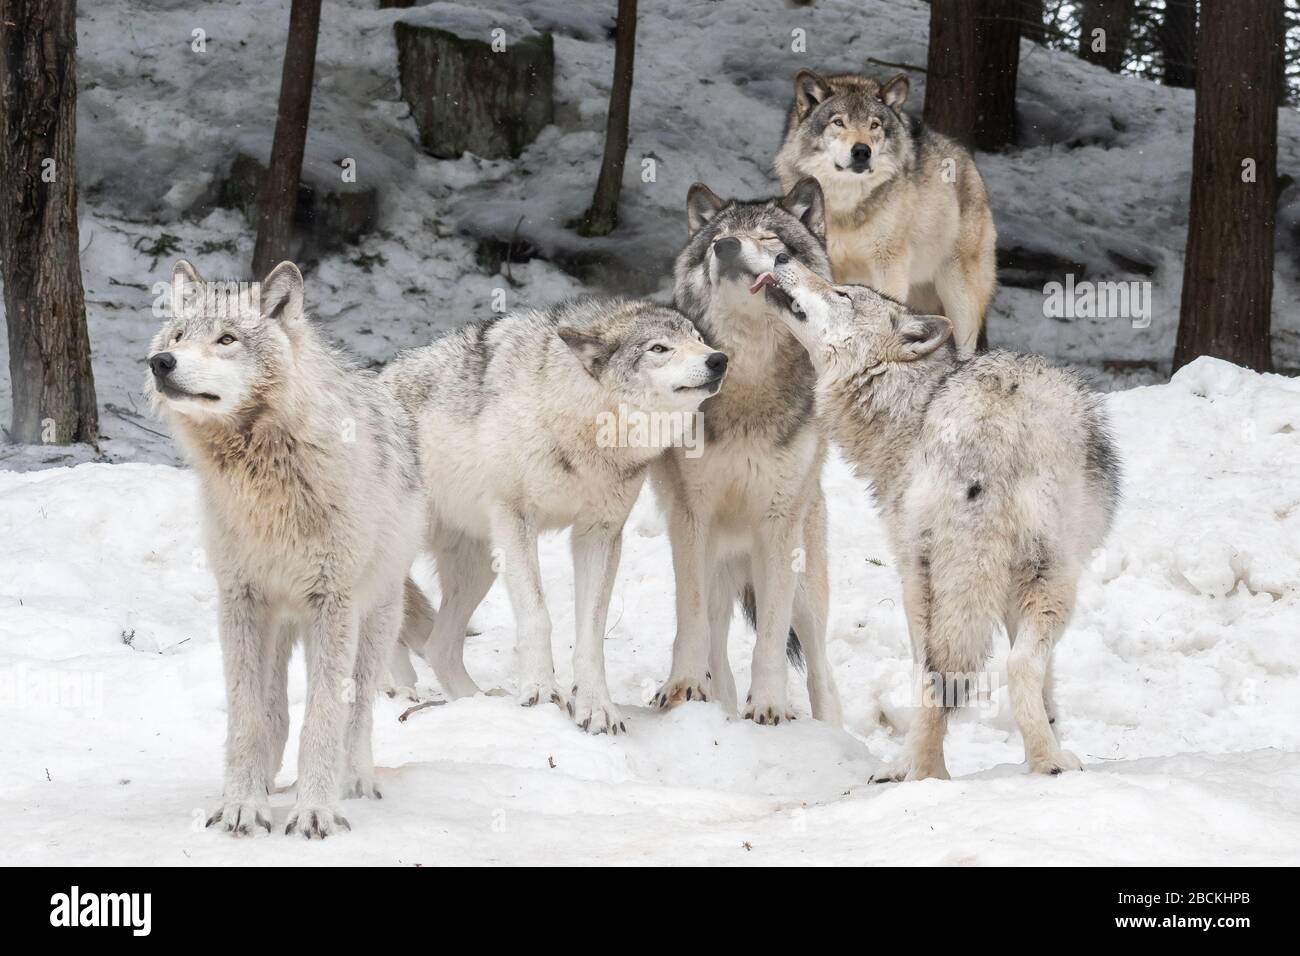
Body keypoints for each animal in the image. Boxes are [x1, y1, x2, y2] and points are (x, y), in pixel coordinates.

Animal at [145, 259, 423, 838]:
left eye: (227, 340)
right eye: (179, 337)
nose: (162, 362)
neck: (263, 474)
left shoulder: (333, 604)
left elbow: (324, 719)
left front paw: (316, 811)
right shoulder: (241, 600)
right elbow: (248, 718)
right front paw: (241, 804)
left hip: (375, 617)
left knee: (358, 711)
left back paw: (355, 781)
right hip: (278, 621)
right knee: (275, 712)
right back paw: (268, 782)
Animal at [384, 299, 726, 734]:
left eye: (698, 339)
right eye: (659, 348)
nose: (718, 359)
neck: (583, 426)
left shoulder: (600, 533)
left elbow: (591, 633)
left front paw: (596, 708)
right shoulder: (515, 520)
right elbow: (537, 615)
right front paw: (543, 693)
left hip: (478, 568)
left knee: (438, 647)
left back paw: (477, 704)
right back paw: (394, 689)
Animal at [651, 178, 843, 727]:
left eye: (769, 239)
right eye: (720, 238)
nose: (727, 247)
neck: (748, 382)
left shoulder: (778, 525)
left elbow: (772, 637)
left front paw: (771, 704)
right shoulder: (689, 518)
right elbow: (690, 620)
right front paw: (682, 686)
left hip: (805, 582)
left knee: (822, 670)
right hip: (716, 567)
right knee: (715, 642)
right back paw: (715, 698)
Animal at [754, 253, 1119, 778]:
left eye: (842, 294)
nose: (782, 257)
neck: (911, 409)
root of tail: (988, 426)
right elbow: (1037, 673)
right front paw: (1045, 738)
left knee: (939, 673)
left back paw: (930, 774)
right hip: (1042, 580)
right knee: (1002, 666)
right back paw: (1040, 762)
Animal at [775, 70, 996, 358]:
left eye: (874, 125)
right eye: (838, 122)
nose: (861, 151)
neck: (845, 204)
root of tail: (968, 161)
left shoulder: (887, 265)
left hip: (958, 293)